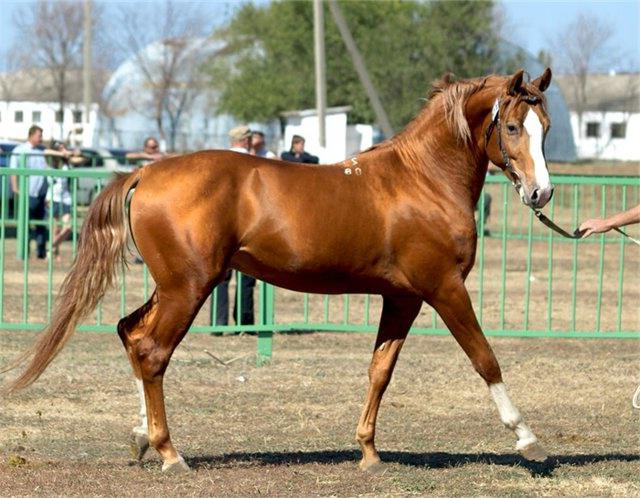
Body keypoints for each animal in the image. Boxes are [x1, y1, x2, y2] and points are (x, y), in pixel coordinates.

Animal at [3, 69, 556, 470]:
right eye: (512, 127)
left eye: (545, 129)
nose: (541, 193)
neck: (421, 180)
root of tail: (146, 171)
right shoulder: (443, 289)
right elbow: (485, 359)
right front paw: (527, 438)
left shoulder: (402, 297)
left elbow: (380, 371)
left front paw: (369, 452)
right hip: (189, 288)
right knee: (151, 351)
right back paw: (170, 454)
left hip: (173, 286)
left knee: (130, 332)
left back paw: (142, 436)